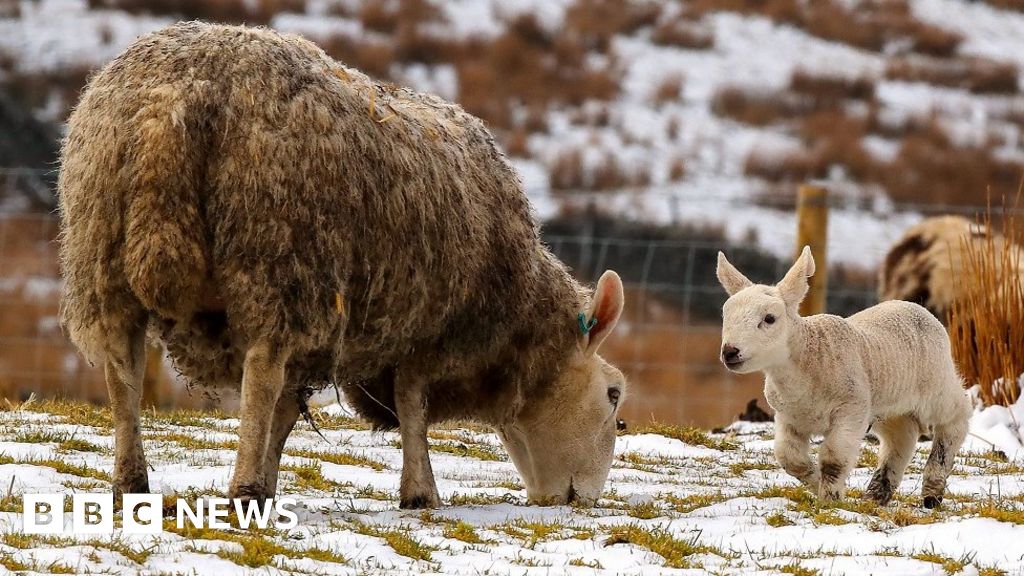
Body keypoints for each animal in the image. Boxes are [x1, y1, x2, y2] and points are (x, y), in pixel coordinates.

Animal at [58, 21, 628, 509]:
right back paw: (242, 489)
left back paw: (131, 481)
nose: (583, 500)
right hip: (276, 256)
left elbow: (291, 410)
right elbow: (411, 406)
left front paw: (272, 476)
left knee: (123, 369)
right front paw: (420, 493)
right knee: (260, 374)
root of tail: (175, 99)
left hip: (102, 253)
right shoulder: (425, 327)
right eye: (614, 396)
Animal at [717, 246, 971, 508]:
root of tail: (916, 307)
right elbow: (789, 457)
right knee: (900, 438)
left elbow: (834, 459)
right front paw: (816, 483)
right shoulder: (788, 416)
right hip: (888, 404)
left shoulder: (850, 409)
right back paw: (876, 495)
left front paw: (830, 499)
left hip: (937, 383)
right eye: (725, 316)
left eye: (769, 318)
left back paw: (932, 491)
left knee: (957, 417)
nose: (730, 352)